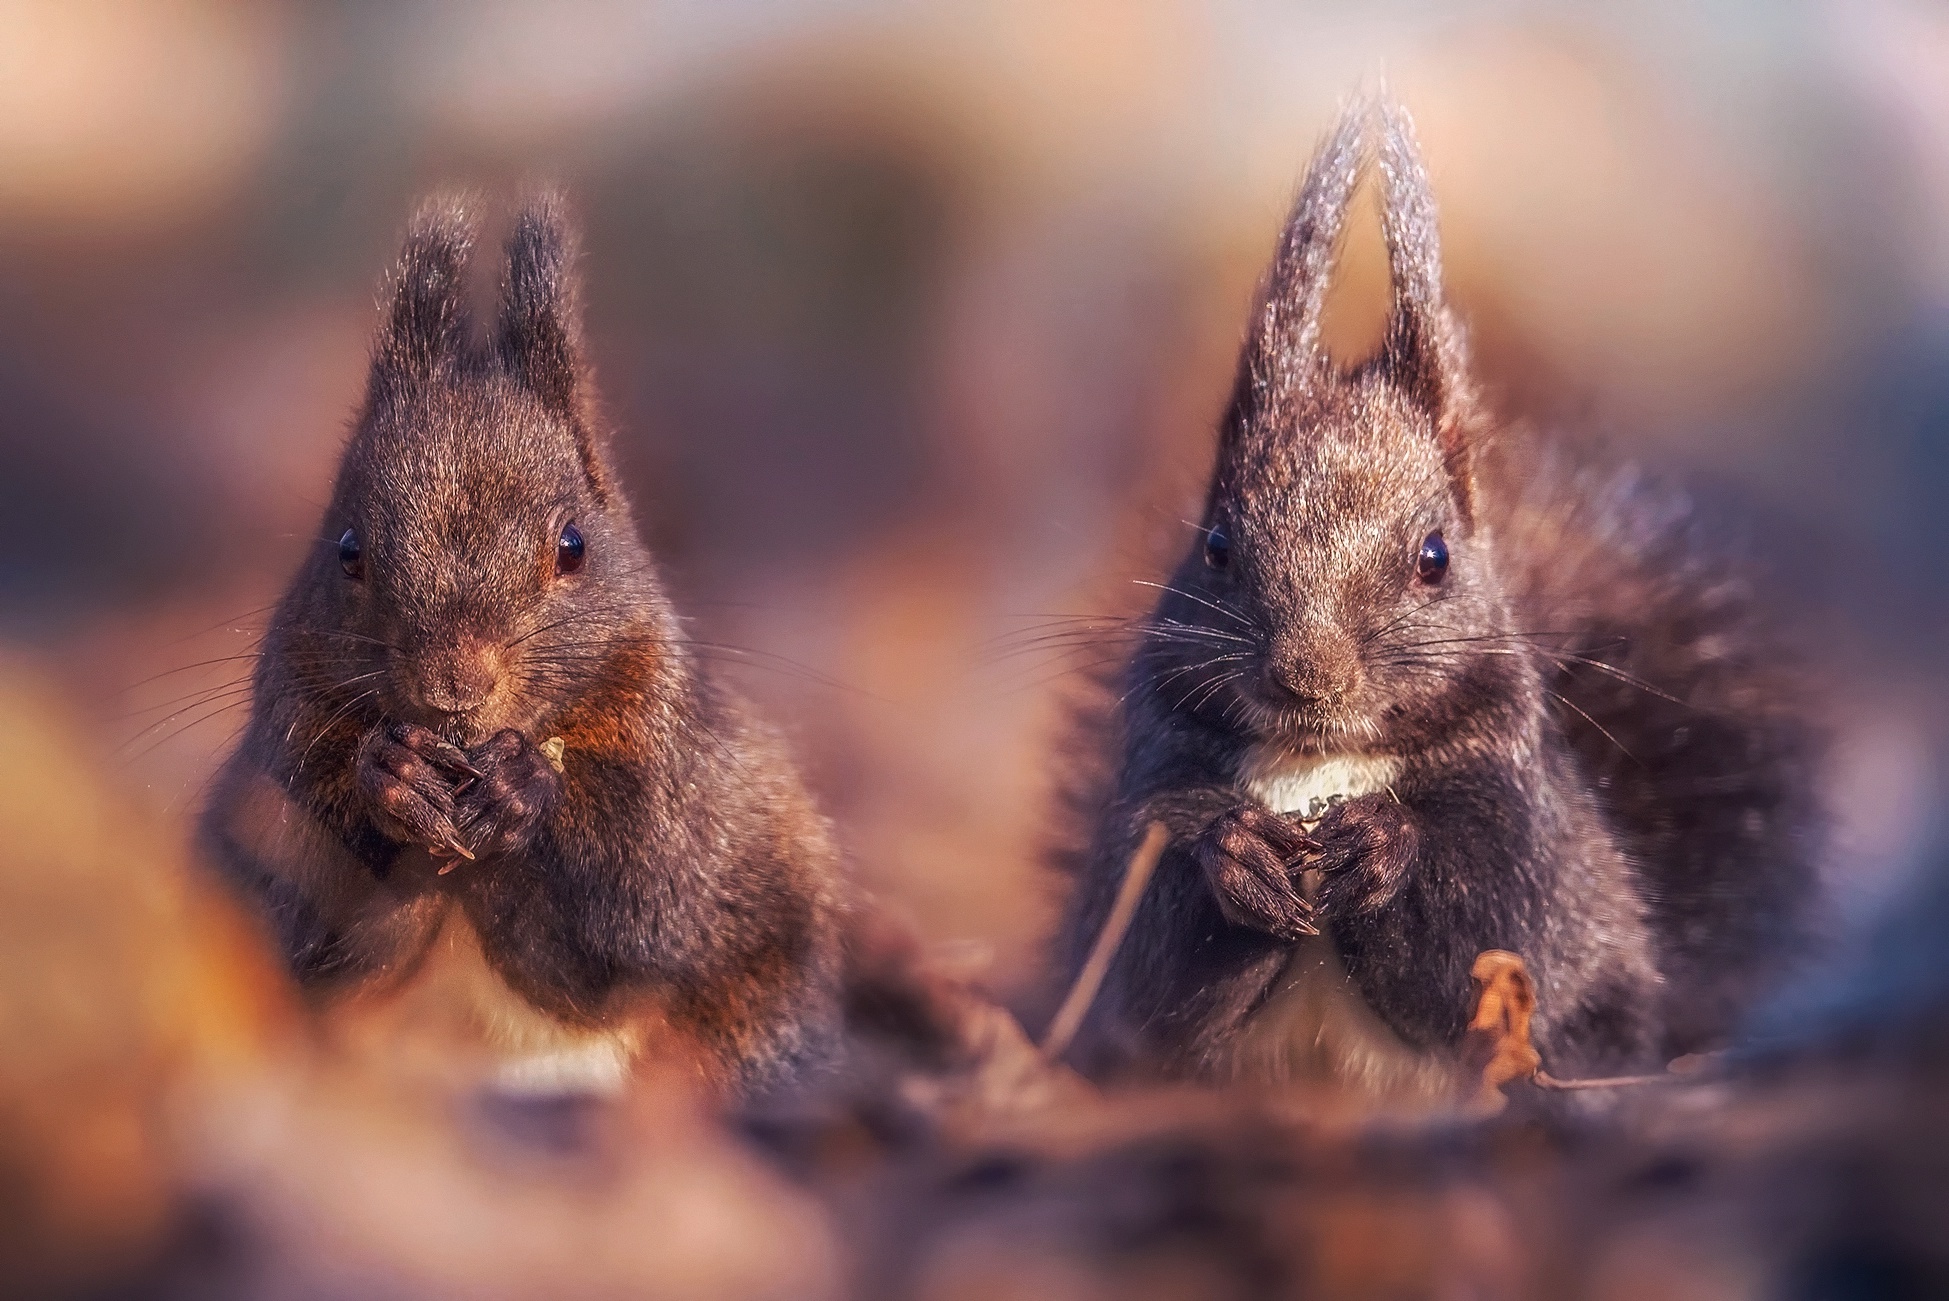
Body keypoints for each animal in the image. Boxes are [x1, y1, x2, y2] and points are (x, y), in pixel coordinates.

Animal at [198, 195, 846, 1100]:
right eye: (348, 550)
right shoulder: (281, 768)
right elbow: (325, 946)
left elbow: (626, 937)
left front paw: (521, 788)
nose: (454, 683)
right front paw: (390, 773)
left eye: (573, 546)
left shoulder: (683, 801)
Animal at [1048, 97, 1823, 1092]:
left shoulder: (1522, 824)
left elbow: (1491, 929)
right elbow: (1143, 956)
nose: (1307, 675)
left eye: (1434, 556)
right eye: (1215, 547)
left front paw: (1384, 846)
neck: (1318, 762)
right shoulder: (1146, 792)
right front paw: (1236, 855)